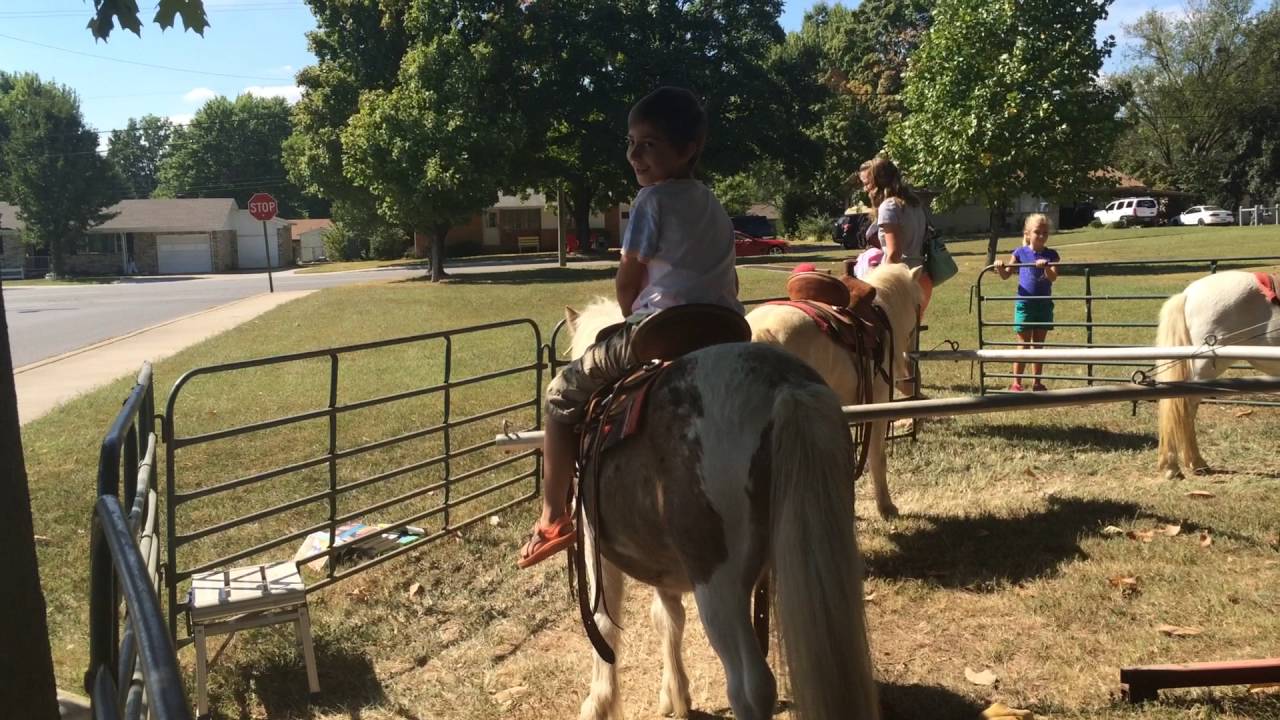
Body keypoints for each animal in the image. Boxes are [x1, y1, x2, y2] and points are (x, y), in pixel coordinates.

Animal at [562, 298, 879, 720]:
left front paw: (599, 703)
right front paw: (676, 695)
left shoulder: (597, 548)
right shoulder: (664, 561)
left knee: (750, 687)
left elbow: (605, 623)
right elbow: (668, 618)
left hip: (718, 584)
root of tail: (784, 386)